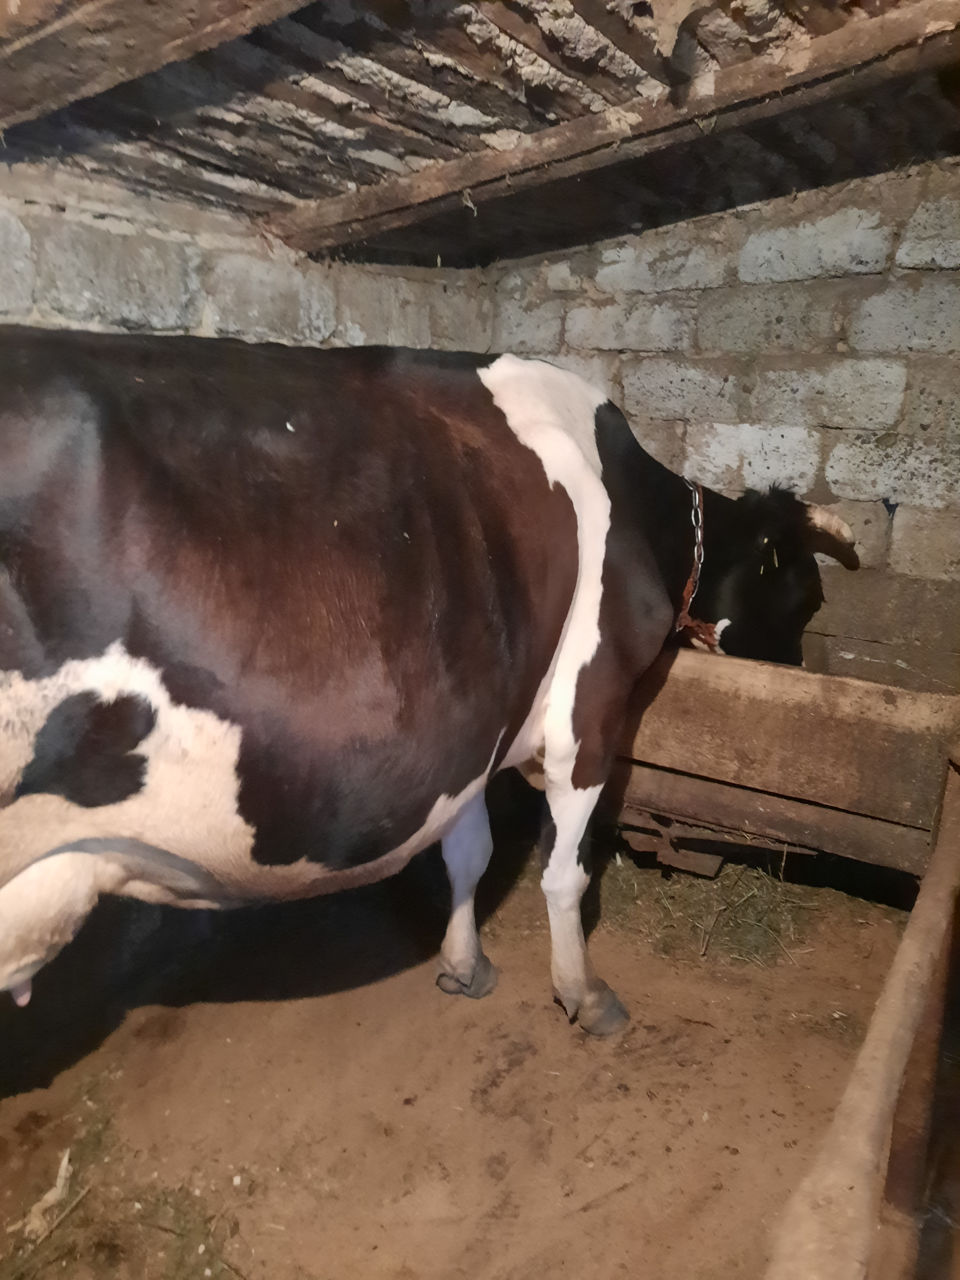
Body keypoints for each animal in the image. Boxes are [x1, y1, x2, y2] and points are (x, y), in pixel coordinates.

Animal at [0, 328, 858, 1033]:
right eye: (804, 597)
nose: (796, 672)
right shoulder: (590, 709)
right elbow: (565, 871)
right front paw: (583, 994)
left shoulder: (473, 723)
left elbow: (468, 853)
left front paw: (462, 964)